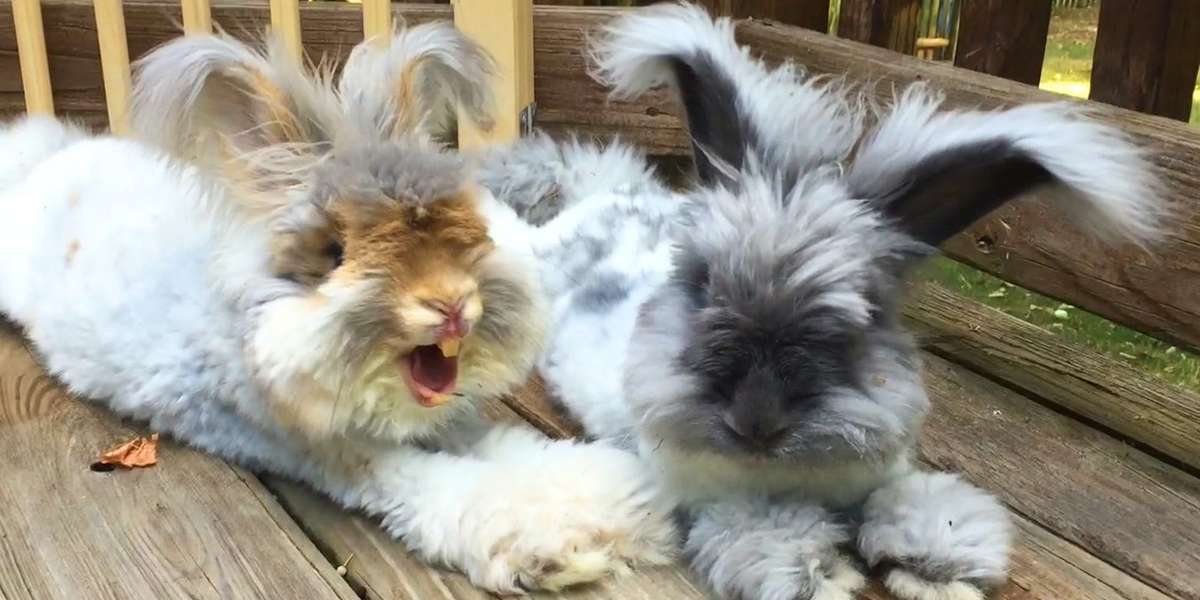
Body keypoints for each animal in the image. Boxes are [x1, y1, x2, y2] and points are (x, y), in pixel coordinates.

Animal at [0, 22, 677, 594]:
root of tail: (50, 158)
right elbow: (448, 489)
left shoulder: (449, 421)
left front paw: (615, 506)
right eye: (334, 253)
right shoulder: (340, 453)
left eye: (466, 229)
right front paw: (554, 546)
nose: (452, 305)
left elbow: (513, 451)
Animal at [476, 3, 1165, 600]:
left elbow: (919, 502)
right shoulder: (716, 497)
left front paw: (939, 567)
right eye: (701, 284)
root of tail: (609, 196)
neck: (791, 468)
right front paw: (827, 571)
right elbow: (765, 530)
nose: (757, 421)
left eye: (864, 313)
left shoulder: (887, 469)